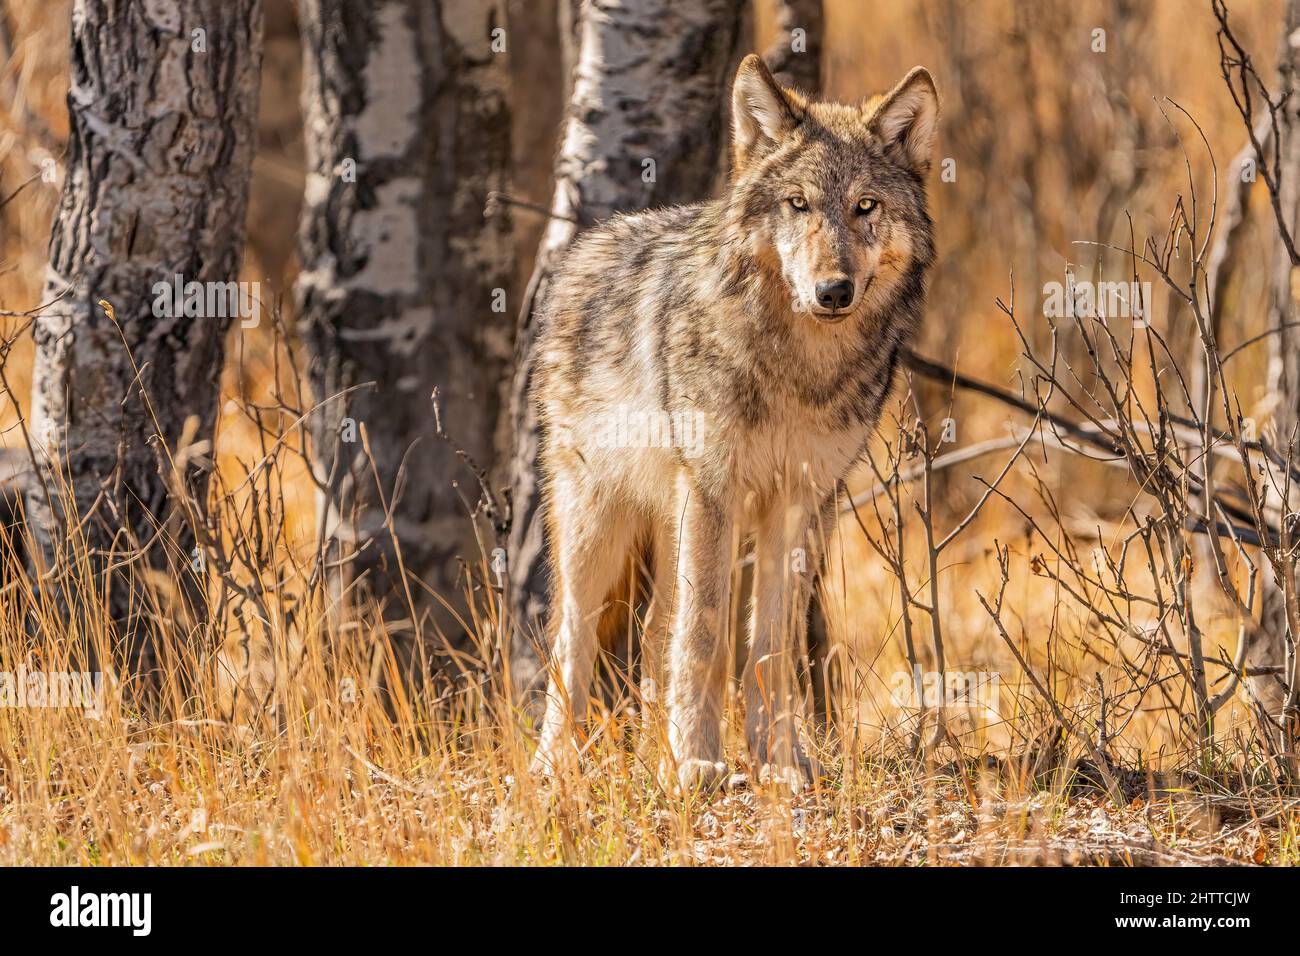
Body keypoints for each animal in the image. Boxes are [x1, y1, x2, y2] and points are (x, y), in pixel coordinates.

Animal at [530, 53, 939, 791]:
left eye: (865, 206)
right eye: (798, 204)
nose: (833, 290)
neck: (800, 370)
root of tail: (586, 246)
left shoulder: (802, 501)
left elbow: (768, 648)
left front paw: (781, 762)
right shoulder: (714, 489)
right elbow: (705, 637)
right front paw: (696, 761)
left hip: (673, 520)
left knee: (653, 636)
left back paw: (652, 753)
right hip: (598, 524)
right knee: (572, 643)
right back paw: (554, 766)